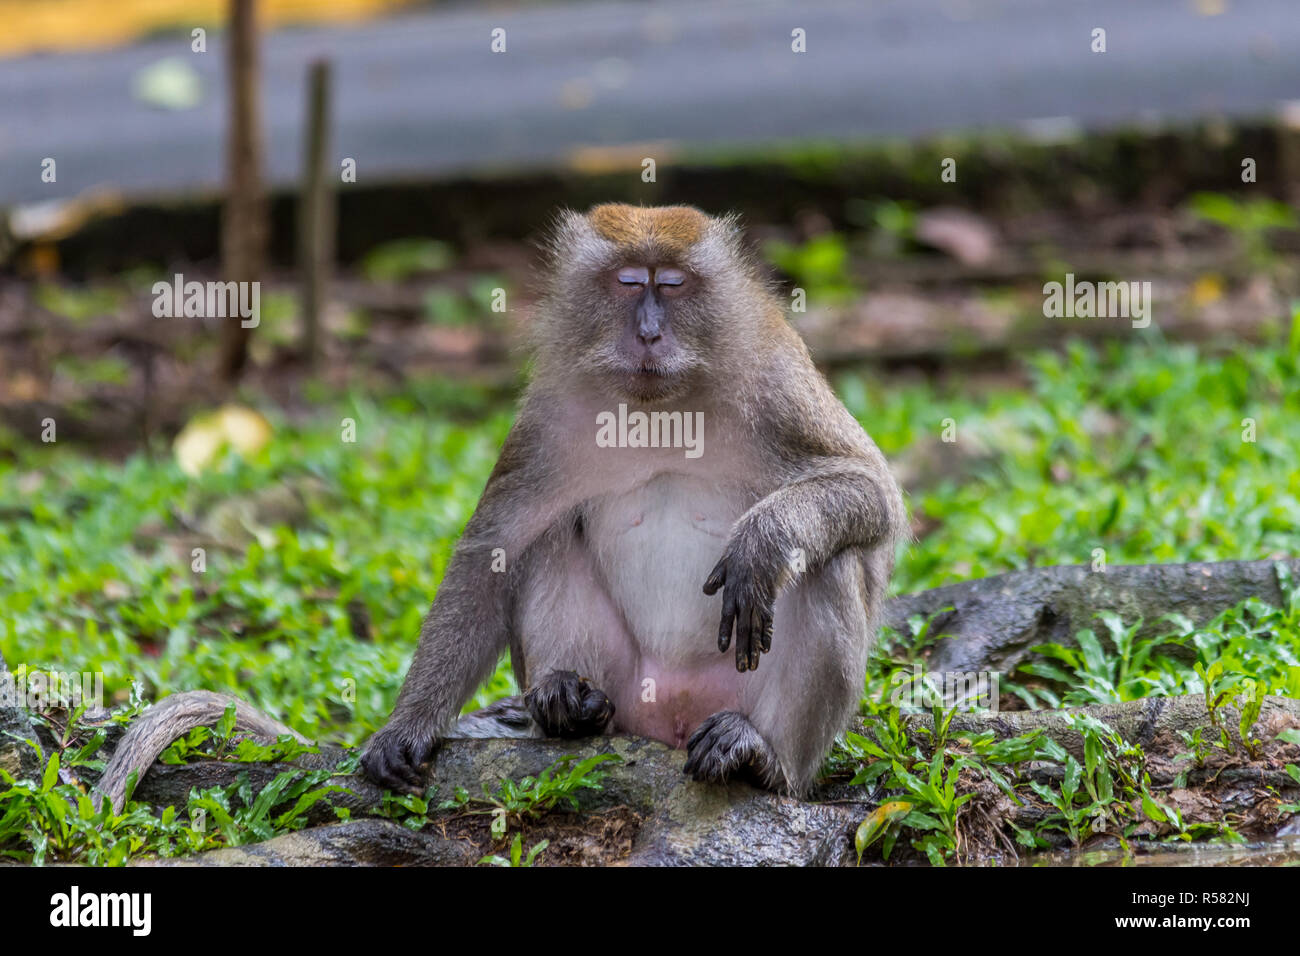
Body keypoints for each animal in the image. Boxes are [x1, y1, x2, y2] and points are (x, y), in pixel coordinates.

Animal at [95, 204, 905, 810]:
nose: (648, 332)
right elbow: (495, 547)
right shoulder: (546, 414)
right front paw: (409, 726)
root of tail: (667, 721)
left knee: (830, 564)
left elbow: (872, 495)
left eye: (672, 285)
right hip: (630, 687)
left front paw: (762, 539)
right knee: (549, 538)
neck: (660, 406)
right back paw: (565, 702)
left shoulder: (775, 382)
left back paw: (762, 754)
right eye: (626, 283)